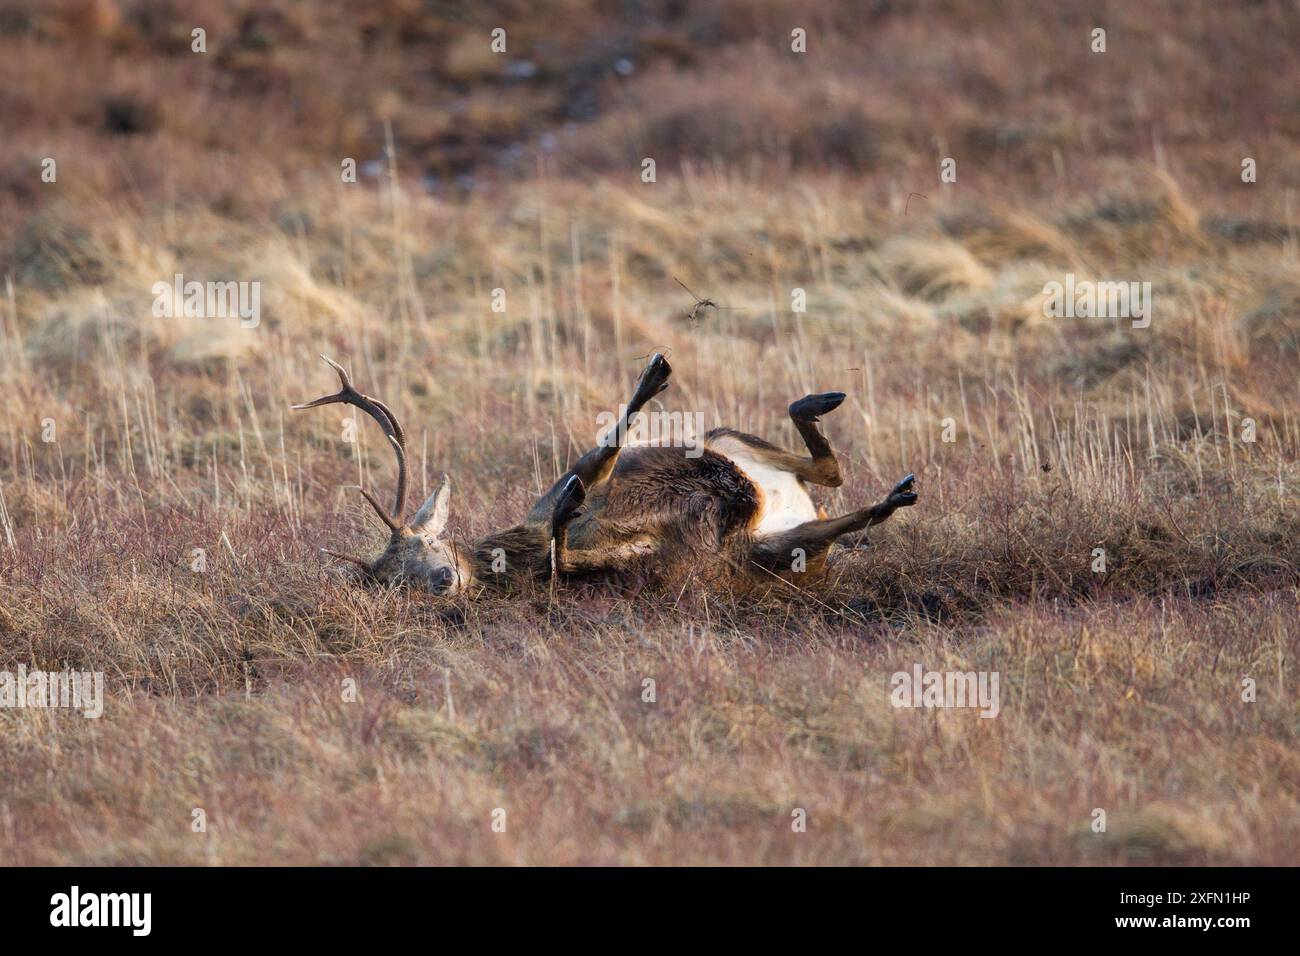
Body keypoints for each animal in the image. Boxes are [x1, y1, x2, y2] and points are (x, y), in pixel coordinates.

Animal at [293, 354, 917, 596]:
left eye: (427, 546)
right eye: (394, 583)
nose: (445, 581)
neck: (514, 548)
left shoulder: (557, 492)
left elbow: (596, 463)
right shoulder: (673, 567)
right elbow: (569, 556)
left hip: (724, 441)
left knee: (824, 468)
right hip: (766, 548)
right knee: (833, 486)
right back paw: (892, 494)